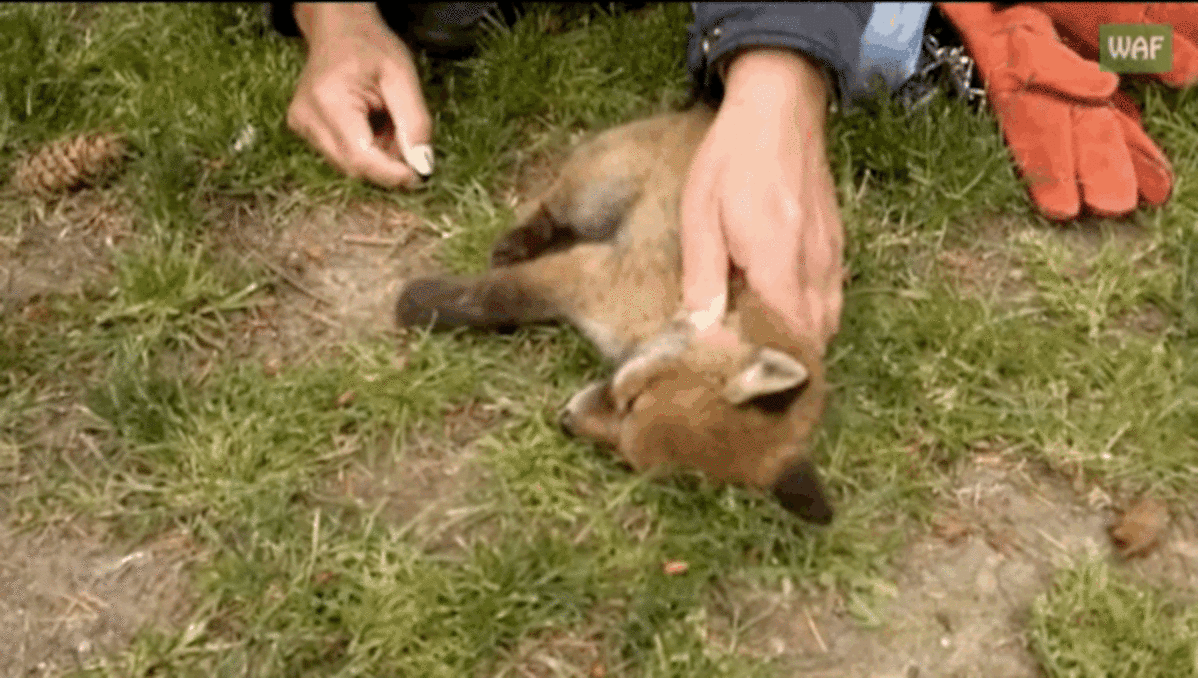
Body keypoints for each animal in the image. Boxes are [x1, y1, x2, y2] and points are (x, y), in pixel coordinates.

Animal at [395, 105, 834, 524]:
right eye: (631, 399)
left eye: (627, 455)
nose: (565, 420)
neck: (665, 316)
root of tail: (703, 110)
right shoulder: (590, 277)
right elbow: (494, 298)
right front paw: (415, 304)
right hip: (594, 201)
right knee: (550, 206)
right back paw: (515, 243)